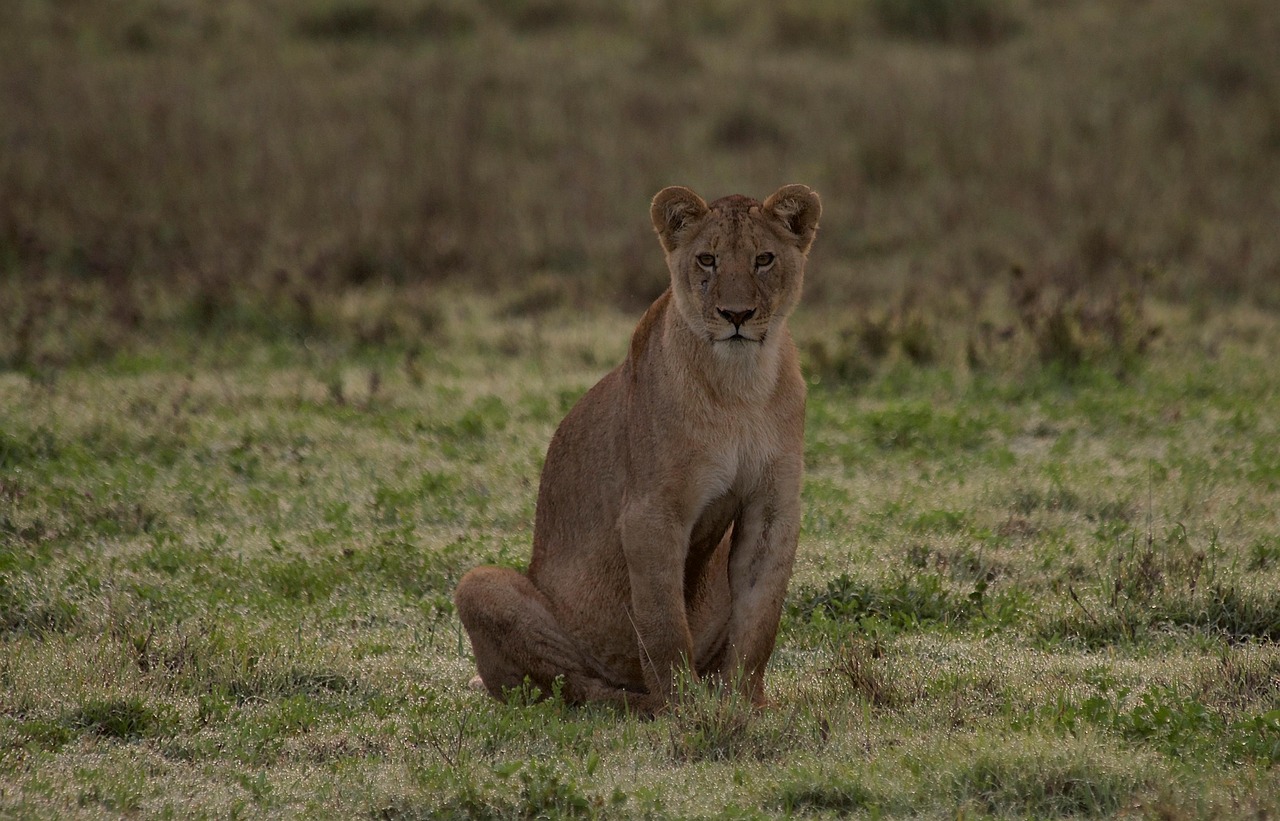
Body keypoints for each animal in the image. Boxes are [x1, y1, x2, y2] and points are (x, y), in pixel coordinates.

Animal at [454, 184, 821, 712]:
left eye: (764, 259)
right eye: (707, 259)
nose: (736, 316)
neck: (740, 386)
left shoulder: (772, 506)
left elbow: (759, 619)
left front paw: (744, 703)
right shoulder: (651, 512)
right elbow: (663, 622)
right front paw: (684, 706)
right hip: (481, 586)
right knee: (573, 686)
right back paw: (640, 703)